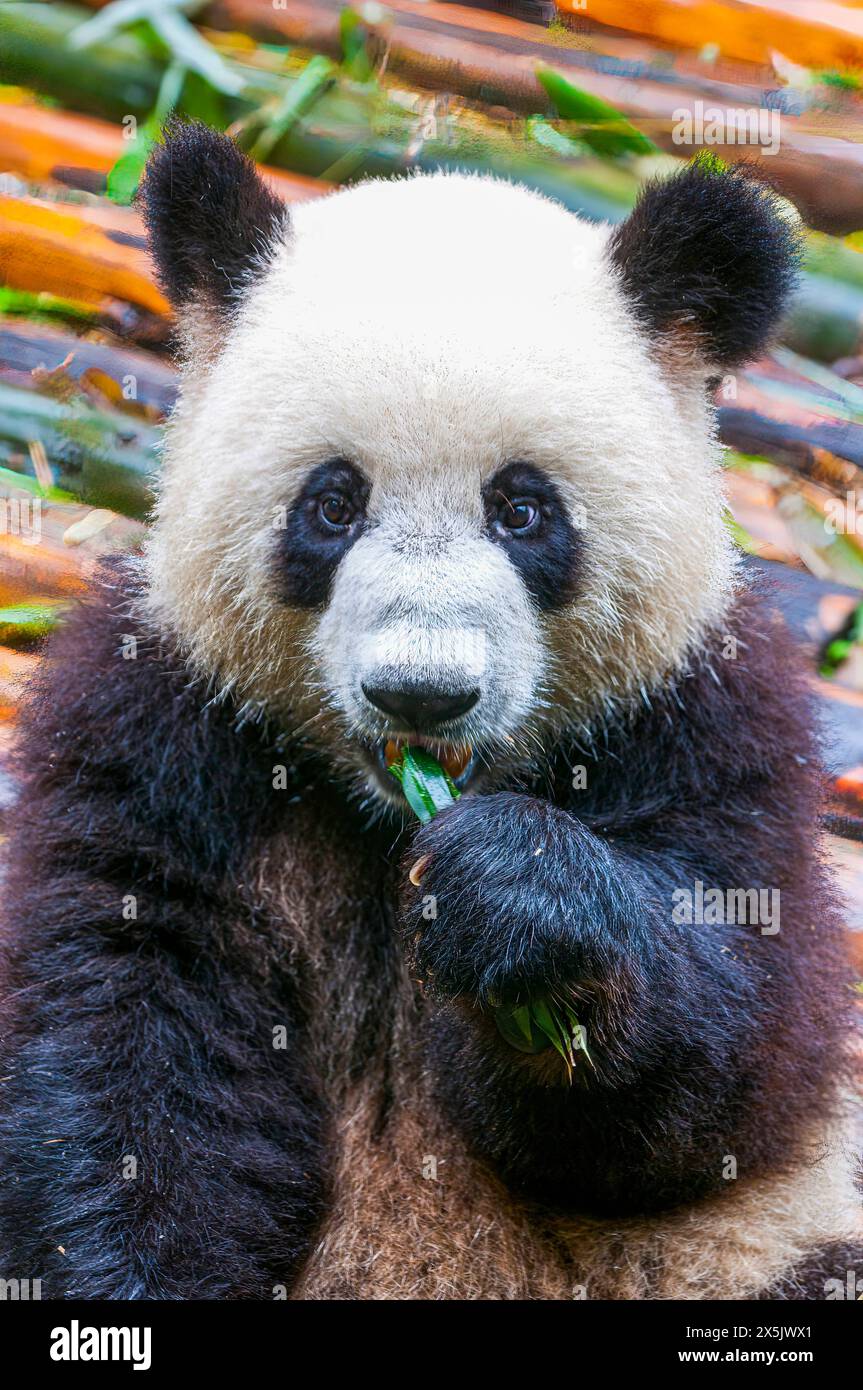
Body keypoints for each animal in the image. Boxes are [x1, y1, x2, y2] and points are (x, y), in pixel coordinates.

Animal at [0, 122, 861, 1301]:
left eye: (522, 509)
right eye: (331, 503)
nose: (421, 691)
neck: (387, 822)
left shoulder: (707, 714)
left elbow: (738, 1047)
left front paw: (516, 899)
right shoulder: (159, 723)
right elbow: (129, 1034)